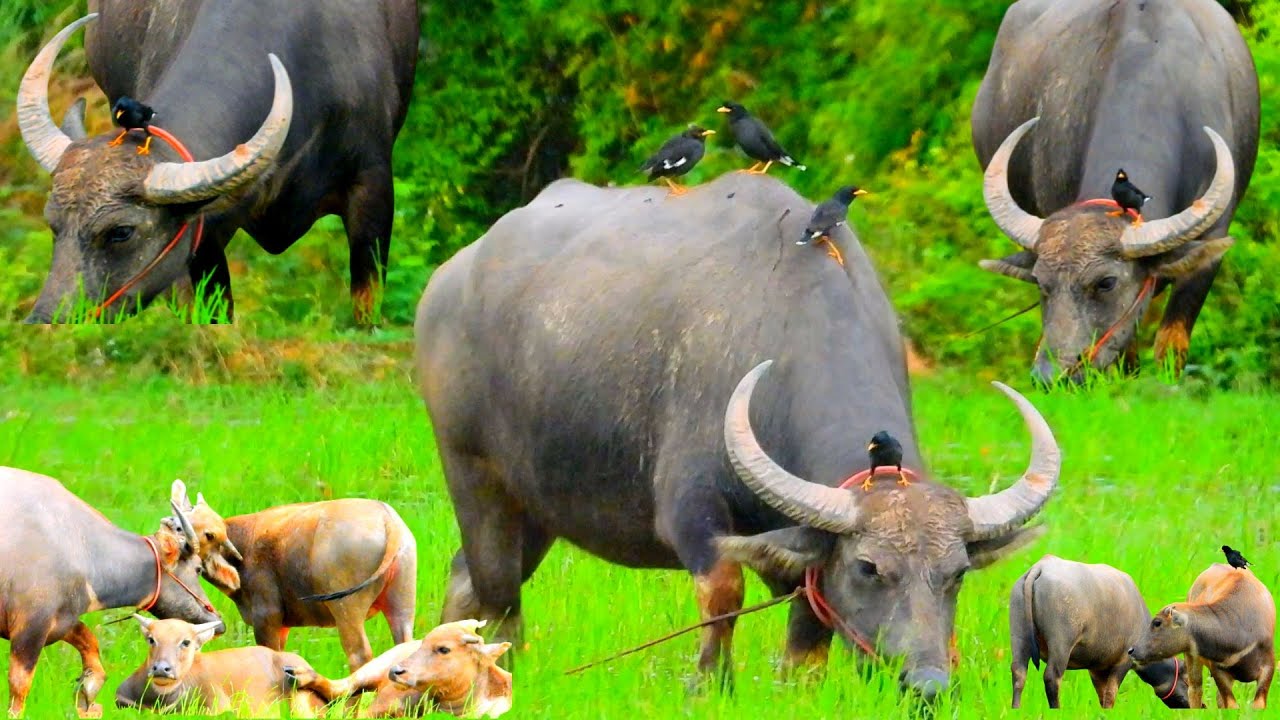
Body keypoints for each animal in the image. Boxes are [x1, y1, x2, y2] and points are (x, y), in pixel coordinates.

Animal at [17, 1, 418, 323]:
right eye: (53, 224)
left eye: (121, 231)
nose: (46, 319)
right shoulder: (201, 239)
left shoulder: (372, 189)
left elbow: (367, 304)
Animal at [414, 173, 1061, 698]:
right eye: (869, 568)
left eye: (957, 574)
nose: (927, 685)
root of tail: (450, 279)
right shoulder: (691, 515)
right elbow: (723, 596)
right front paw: (710, 683)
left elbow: (807, 635)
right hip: (473, 474)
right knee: (499, 593)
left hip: (537, 505)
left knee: (466, 579)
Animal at [971, 0, 1259, 383]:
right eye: (1040, 282)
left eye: (1106, 282)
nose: (1050, 376)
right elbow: (1127, 352)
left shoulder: (1211, 243)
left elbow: (1171, 343)